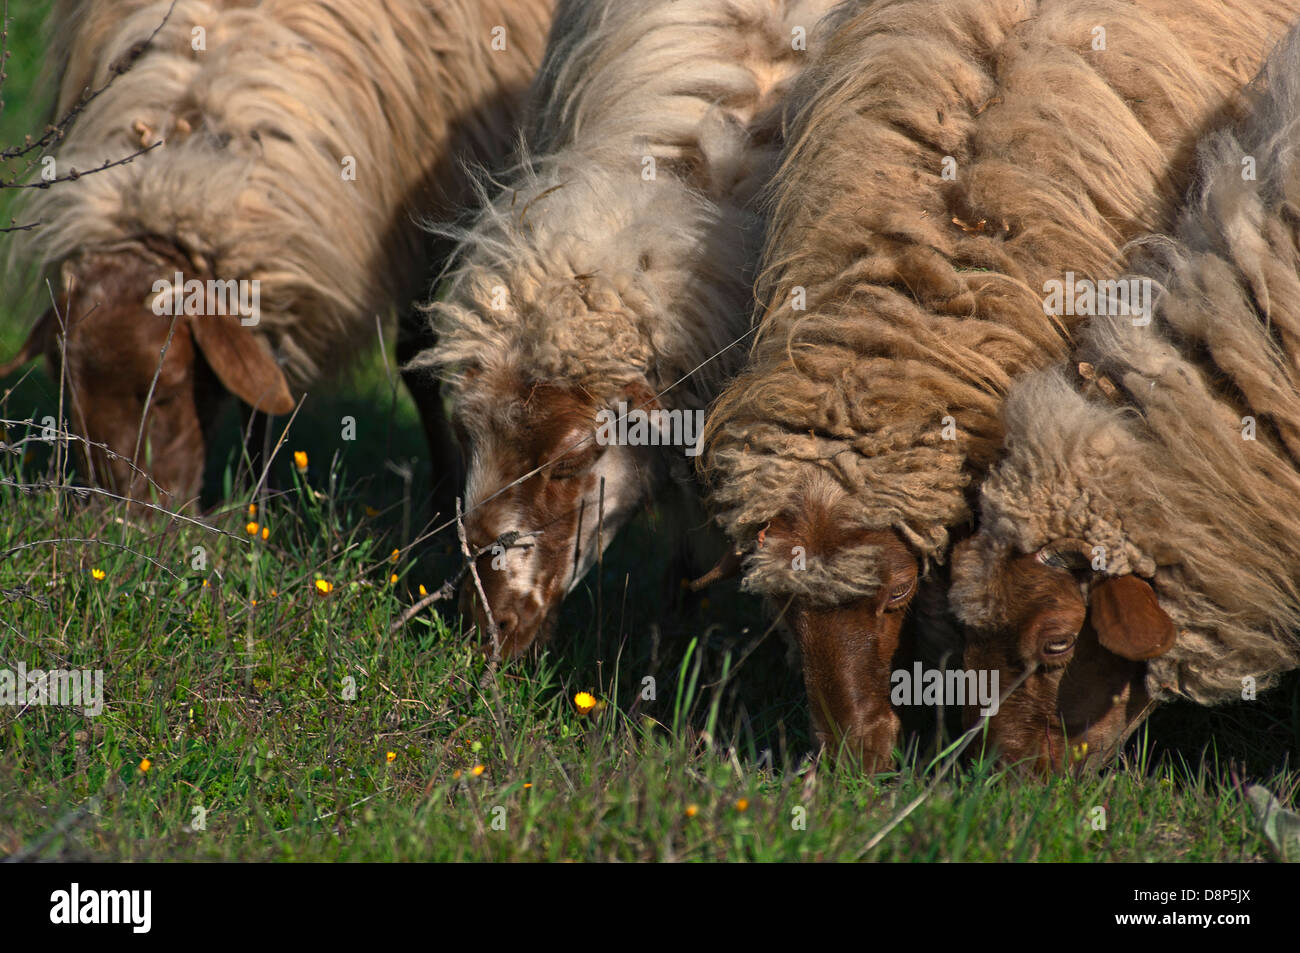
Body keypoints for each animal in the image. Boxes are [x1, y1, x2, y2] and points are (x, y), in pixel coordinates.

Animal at [0, 0, 553, 505]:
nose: (123, 522)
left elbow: (416, 357)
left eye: (170, 388)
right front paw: (254, 501)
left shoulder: (434, 211)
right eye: (66, 393)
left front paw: (444, 497)